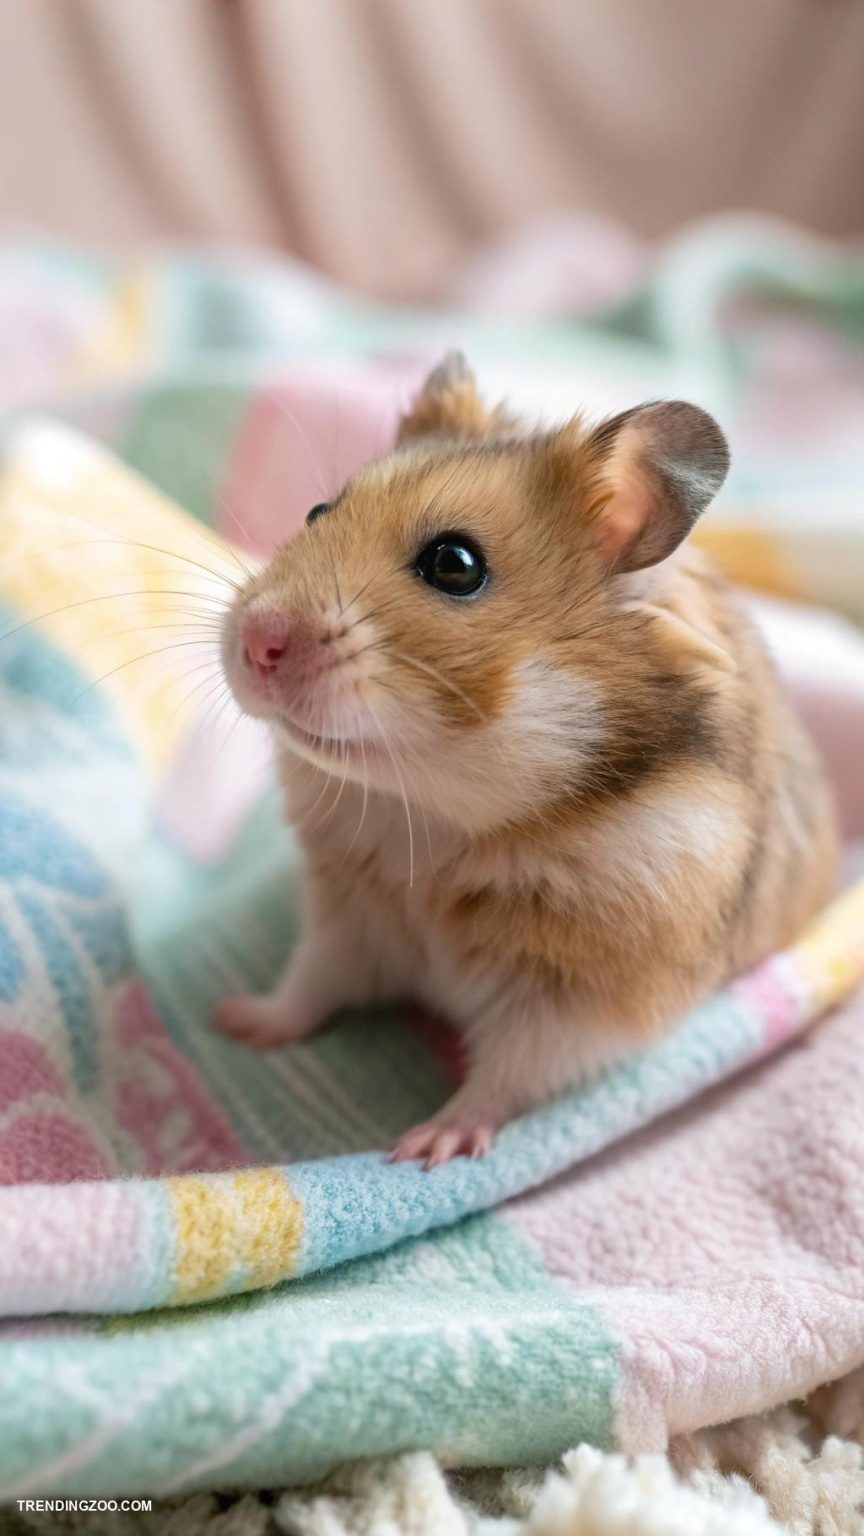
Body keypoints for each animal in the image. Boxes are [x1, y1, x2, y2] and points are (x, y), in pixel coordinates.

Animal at [215, 353, 839, 1167]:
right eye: (318, 511)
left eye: (454, 564)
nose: (257, 642)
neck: (432, 814)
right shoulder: (347, 915)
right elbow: (310, 984)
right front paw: (237, 1020)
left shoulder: (583, 995)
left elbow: (510, 1071)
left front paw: (427, 1148)